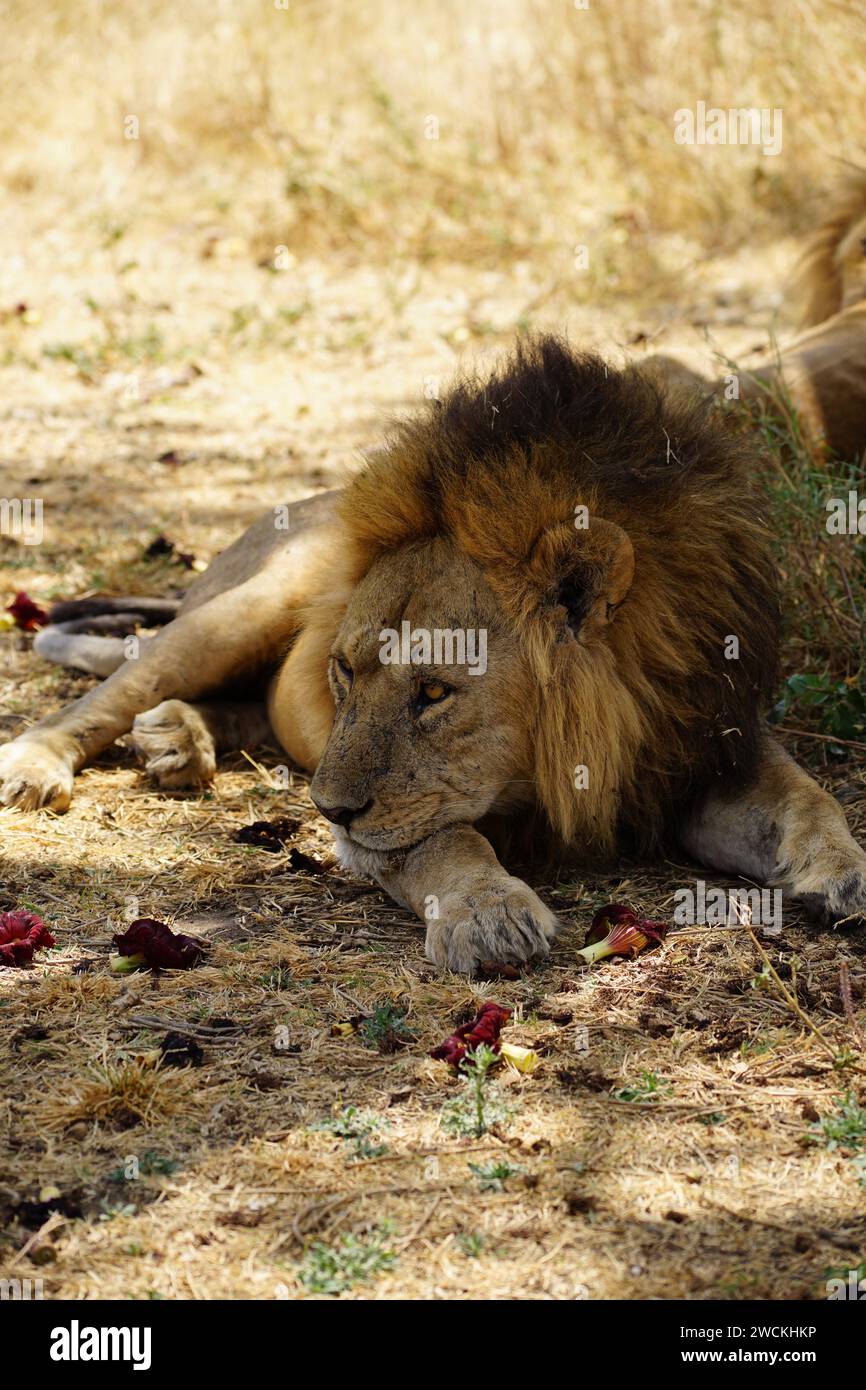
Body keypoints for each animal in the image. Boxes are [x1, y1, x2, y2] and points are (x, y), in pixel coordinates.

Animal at [1, 337, 864, 972]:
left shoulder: (701, 743)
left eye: (436, 693)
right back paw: (36, 765)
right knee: (111, 691)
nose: (326, 811)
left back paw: (176, 740)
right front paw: (489, 914)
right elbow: (446, 839)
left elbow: (807, 797)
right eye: (345, 672)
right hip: (242, 609)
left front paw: (843, 875)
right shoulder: (399, 829)